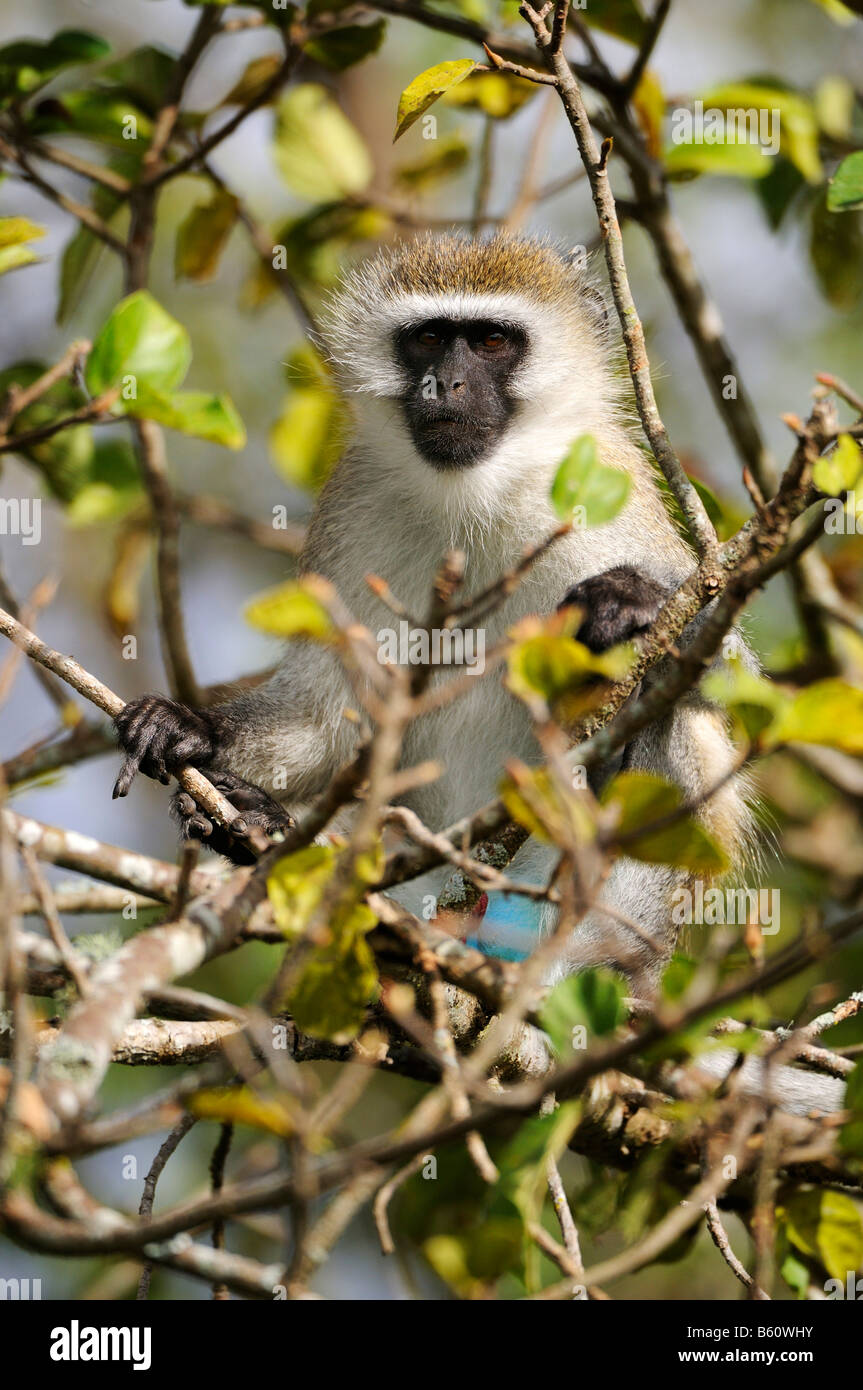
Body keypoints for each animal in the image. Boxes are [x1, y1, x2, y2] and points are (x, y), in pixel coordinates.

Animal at [114, 232, 750, 999]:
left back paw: (598, 948)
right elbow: (327, 709)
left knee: (671, 714)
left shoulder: (609, 489)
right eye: (427, 339)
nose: (443, 385)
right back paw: (274, 843)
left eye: (490, 341)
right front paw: (189, 729)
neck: (474, 492)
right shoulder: (353, 509)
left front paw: (633, 604)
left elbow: (736, 678)